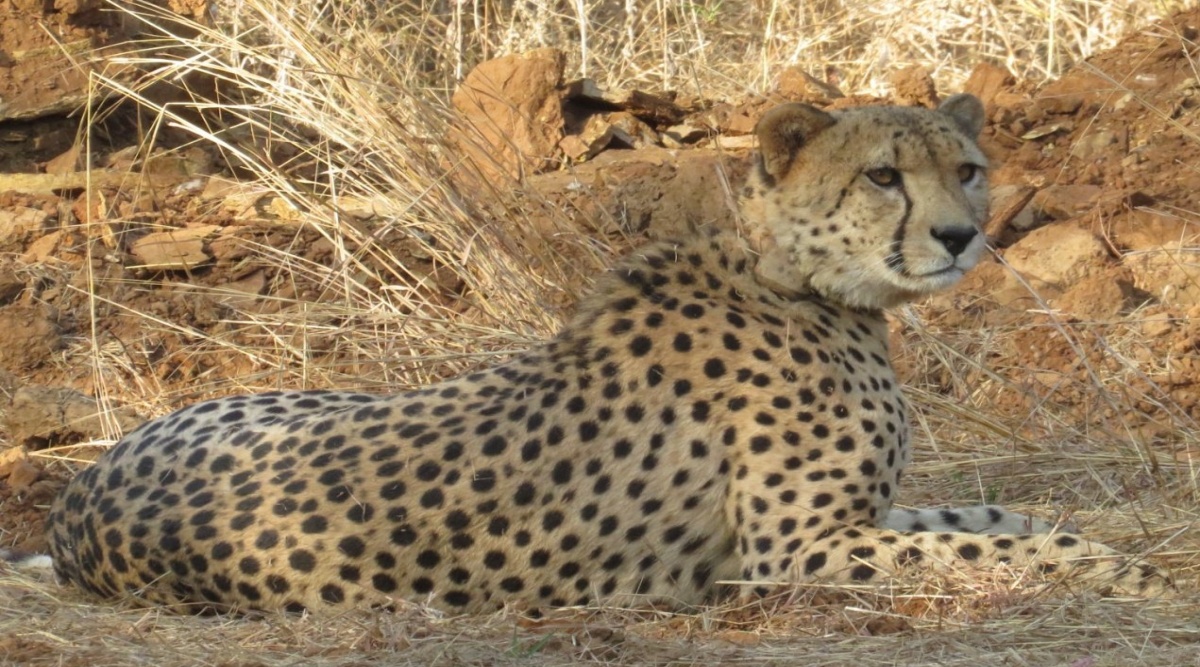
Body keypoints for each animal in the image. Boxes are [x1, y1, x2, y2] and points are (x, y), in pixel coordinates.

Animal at [42, 93, 1170, 615]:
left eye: (967, 168)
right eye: (884, 176)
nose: (960, 236)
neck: (800, 280)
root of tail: (74, 501)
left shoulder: (855, 516)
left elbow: (990, 518)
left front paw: (1111, 540)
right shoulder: (789, 552)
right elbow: (994, 548)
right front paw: (1114, 568)